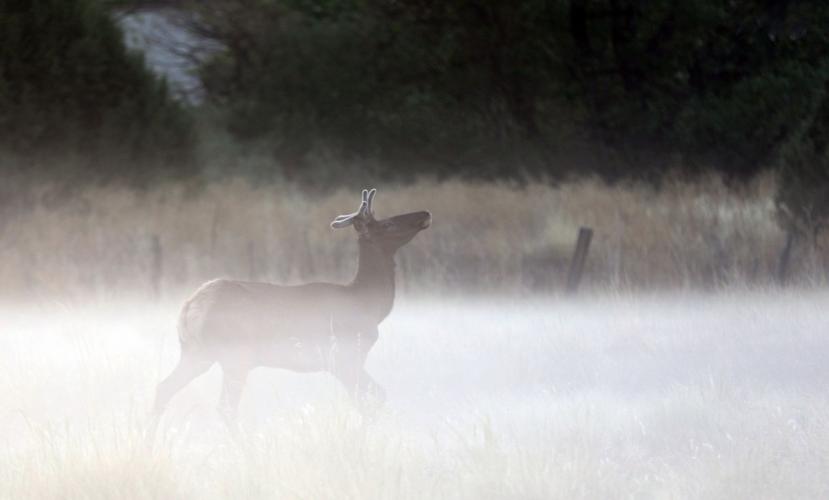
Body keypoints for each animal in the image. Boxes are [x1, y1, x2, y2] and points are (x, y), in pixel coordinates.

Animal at [152, 188, 431, 422]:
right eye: (387, 223)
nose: (425, 213)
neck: (367, 304)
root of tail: (188, 308)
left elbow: (373, 396)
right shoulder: (344, 354)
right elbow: (370, 398)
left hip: (196, 352)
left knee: (163, 388)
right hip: (235, 355)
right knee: (225, 408)